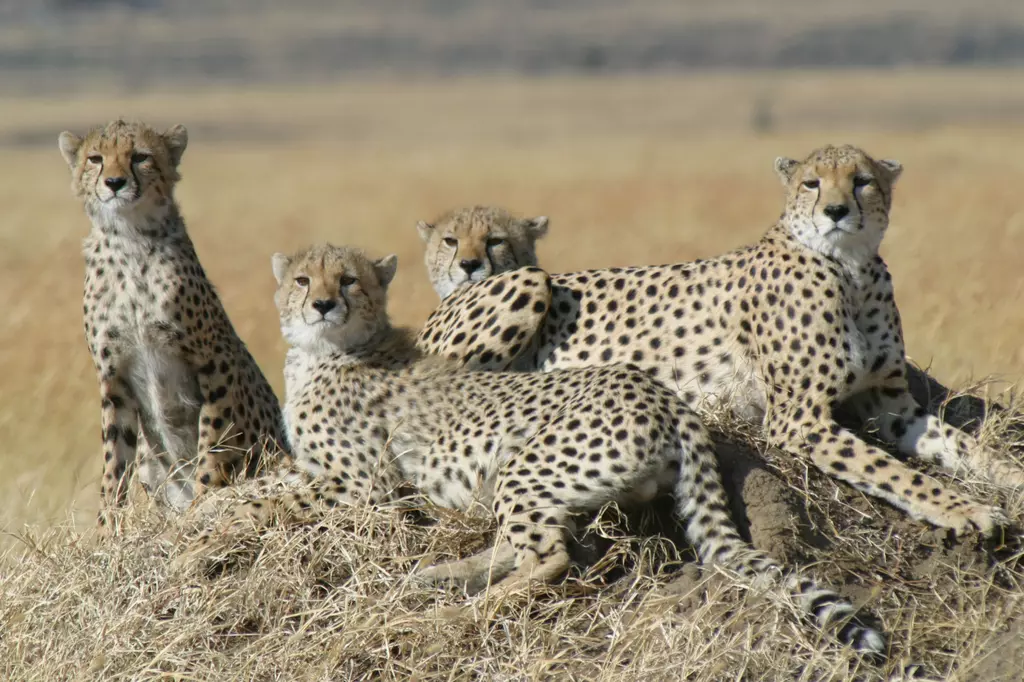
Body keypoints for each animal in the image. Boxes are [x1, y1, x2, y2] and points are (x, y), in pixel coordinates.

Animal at [58, 119, 286, 530]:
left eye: (140, 157)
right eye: (95, 158)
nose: (114, 182)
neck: (129, 240)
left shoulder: (214, 361)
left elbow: (212, 442)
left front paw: (203, 504)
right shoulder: (113, 376)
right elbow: (114, 461)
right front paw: (107, 530)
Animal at [179, 242, 892, 656]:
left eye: (349, 280)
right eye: (302, 279)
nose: (323, 304)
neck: (326, 353)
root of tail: (666, 397)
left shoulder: (365, 488)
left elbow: (274, 501)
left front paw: (209, 534)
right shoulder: (329, 474)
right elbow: (264, 486)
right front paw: (200, 515)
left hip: (527, 463)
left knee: (549, 558)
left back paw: (457, 611)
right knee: (519, 545)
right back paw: (438, 577)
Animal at [416, 145, 1024, 537]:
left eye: (862, 181)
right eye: (811, 183)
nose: (835, 211)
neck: (851, 269)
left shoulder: (894, 407)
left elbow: (967, 448)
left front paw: (1007, 481)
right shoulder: (798, 420)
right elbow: (891, 471)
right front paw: (964, 510)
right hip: (528, 282)